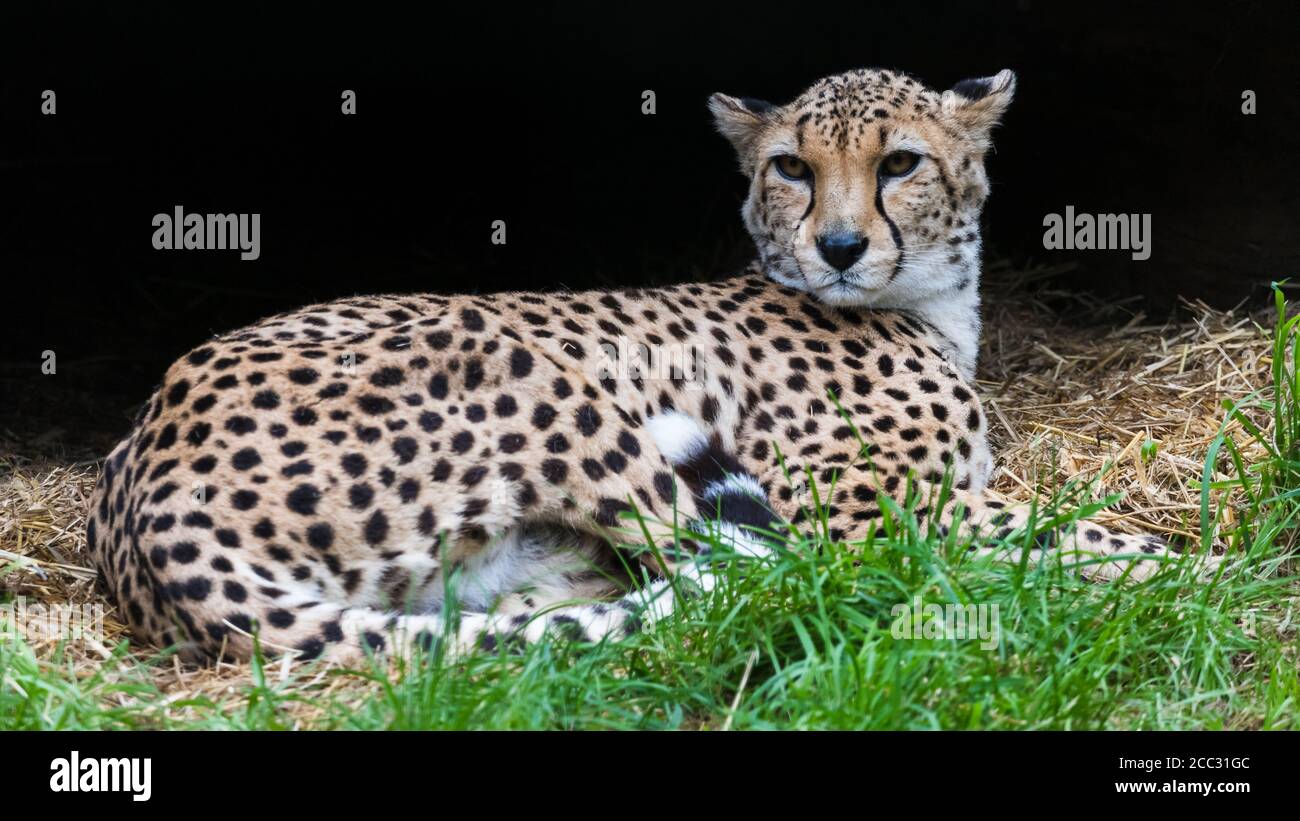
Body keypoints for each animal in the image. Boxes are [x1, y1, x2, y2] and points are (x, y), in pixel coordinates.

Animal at [87, 67, 1209, 665]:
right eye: (790, 167)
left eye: (901, 162)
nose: (840, 247)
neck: (921, 304)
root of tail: (135, 495)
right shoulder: (854, 511)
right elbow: (1066, 523)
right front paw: (1183, 564)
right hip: (535, 373)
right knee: (759, 572)